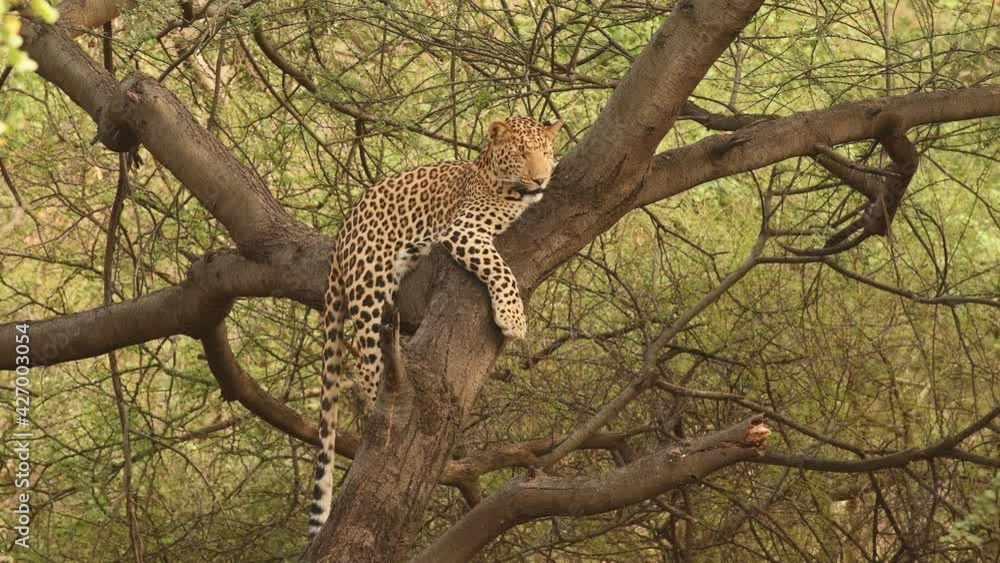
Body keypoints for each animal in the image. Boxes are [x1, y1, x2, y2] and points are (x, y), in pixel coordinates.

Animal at [310, 116, 563, 537]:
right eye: (521, 153)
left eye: (546, 151)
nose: (541, 178)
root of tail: (343, 233)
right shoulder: (463, 229)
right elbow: (500, 268)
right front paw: (513, 319)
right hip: (369, 284)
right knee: (365, 359)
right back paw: (379, 397)